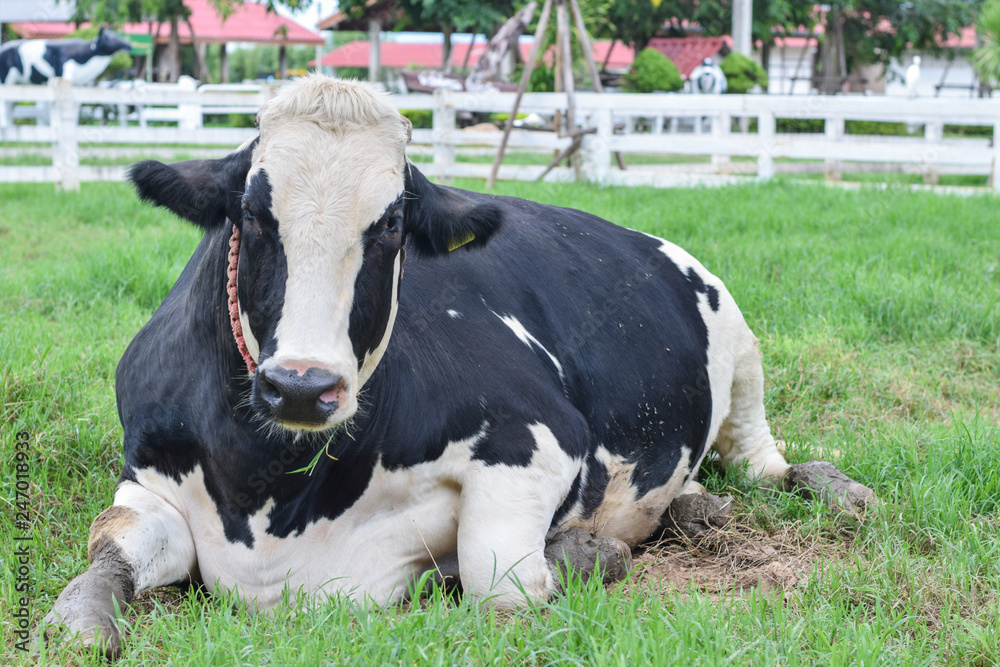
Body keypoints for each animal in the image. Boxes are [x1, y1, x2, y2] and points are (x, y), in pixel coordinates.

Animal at [43, 75, 874, 657]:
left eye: (392, 225)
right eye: (252, 212)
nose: (302, 385)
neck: (272, 498)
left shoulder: (539, 433)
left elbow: (496, 577)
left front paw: (585, 550)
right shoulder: (150, 472)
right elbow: (110, 543)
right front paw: (79, 618)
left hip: (741, 350)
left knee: (775, 464)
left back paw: (833, 493)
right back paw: (698, 507)